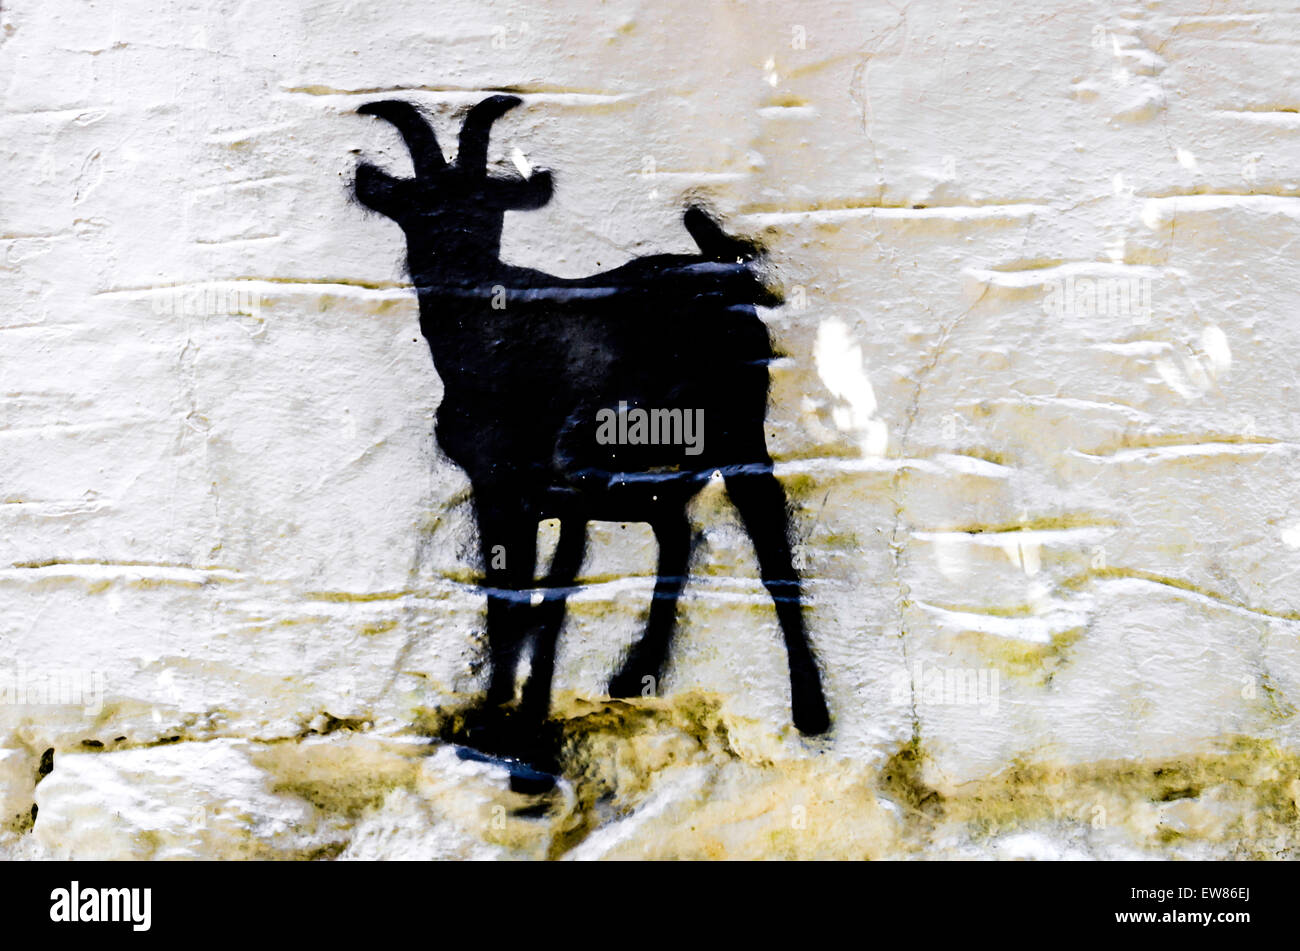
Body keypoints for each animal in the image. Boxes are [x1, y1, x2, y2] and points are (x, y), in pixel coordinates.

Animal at [354, 95, 830, 775]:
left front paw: (512, 732)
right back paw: (633, 676)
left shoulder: (539, 485)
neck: (491, 345)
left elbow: (530, 596)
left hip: (737, 428)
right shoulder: (500, 486)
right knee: (677, 533)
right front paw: (500, 717)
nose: (456, 275)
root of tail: (725, 271)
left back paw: (810, 711)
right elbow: (508, 594)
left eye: (487, 212)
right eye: (420, 209)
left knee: (767, 537)